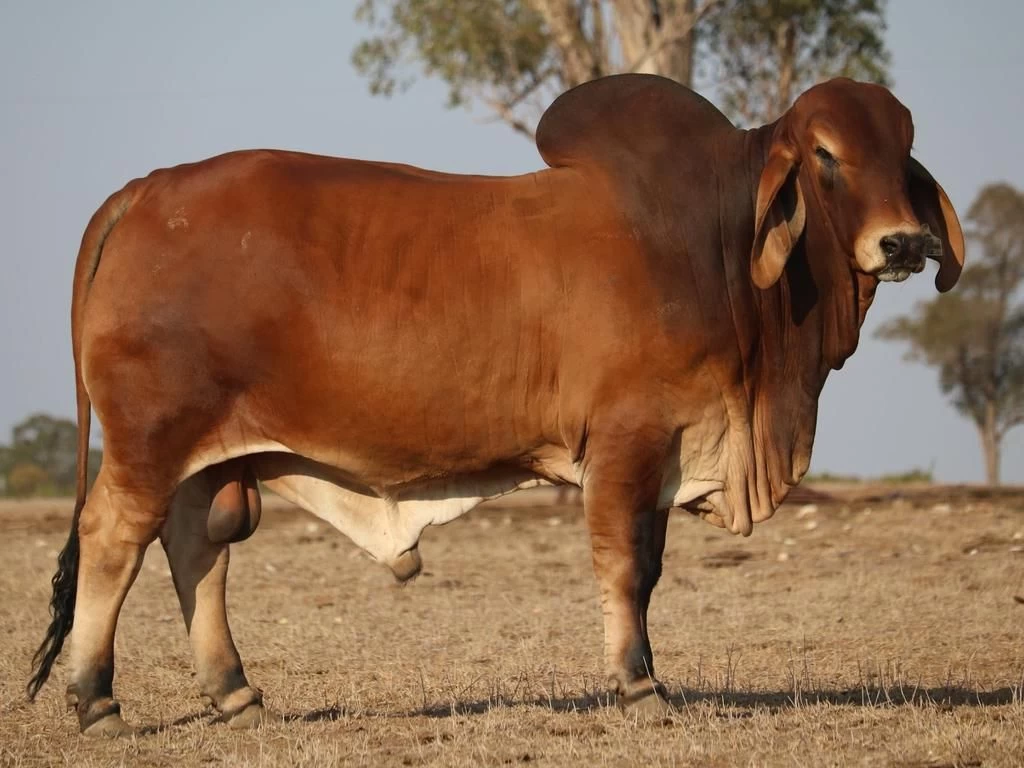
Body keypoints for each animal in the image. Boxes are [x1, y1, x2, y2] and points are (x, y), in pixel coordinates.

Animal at [27, 74, 963, 736]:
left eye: (904, 148)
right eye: (826, 154)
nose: (904, 243)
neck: (718, 247)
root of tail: (147, 189)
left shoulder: (666, 451)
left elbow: (649, 568)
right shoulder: (627, 441)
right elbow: (625, 566)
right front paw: (638, 685)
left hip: (205, 452)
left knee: (197, 548)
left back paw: (235, 694)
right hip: (149, 442)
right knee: (113, 540)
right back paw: (97, 702)